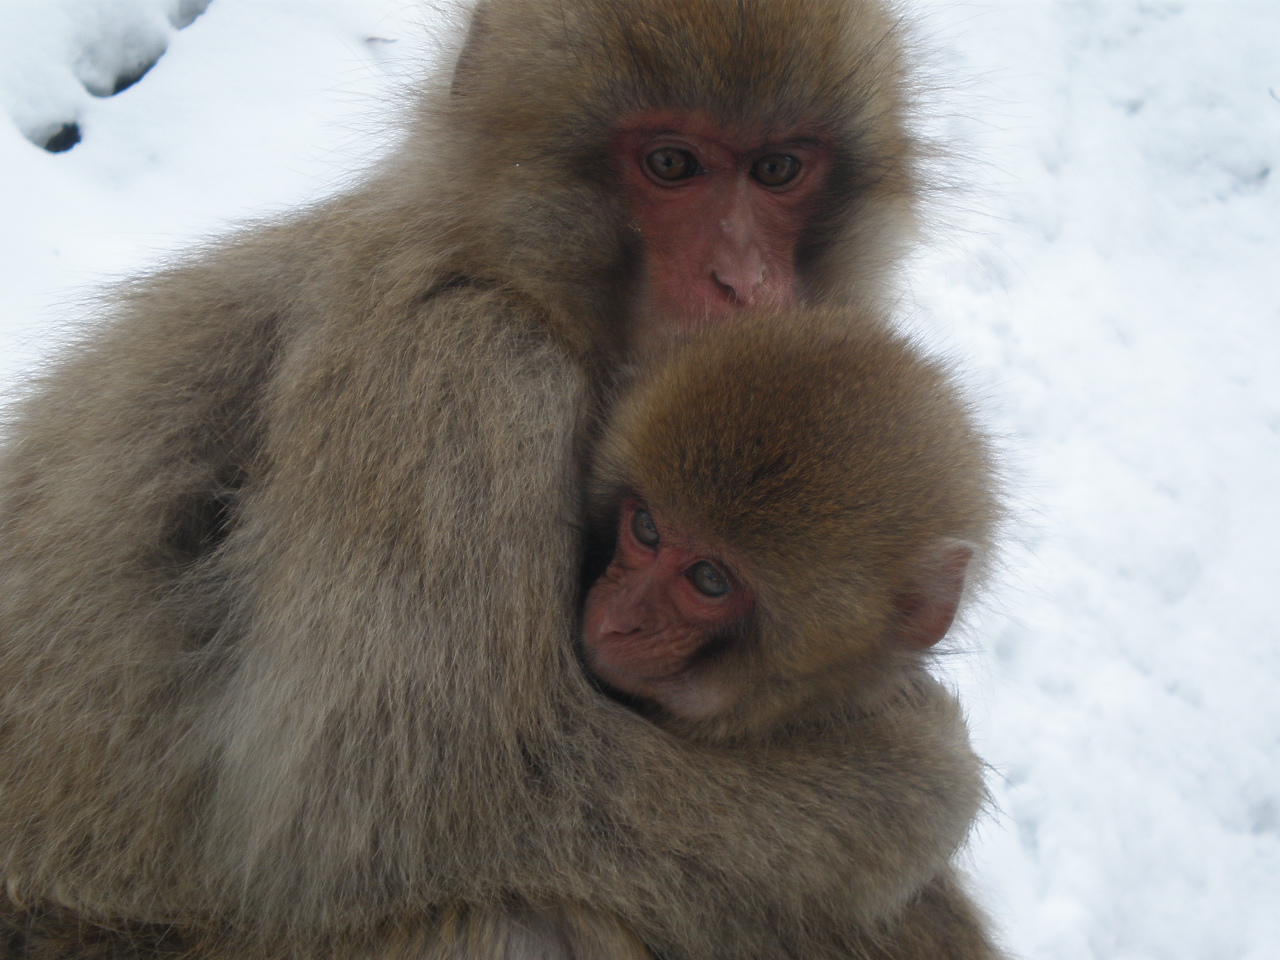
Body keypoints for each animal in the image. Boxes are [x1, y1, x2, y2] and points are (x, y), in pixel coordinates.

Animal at [0, 1, 987, 959]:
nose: (741, 282)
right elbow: (399, 806)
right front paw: (921, 779)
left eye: (779, 168)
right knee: (511, 913)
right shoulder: (459, 374)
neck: (514, 269)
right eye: (672, 164)